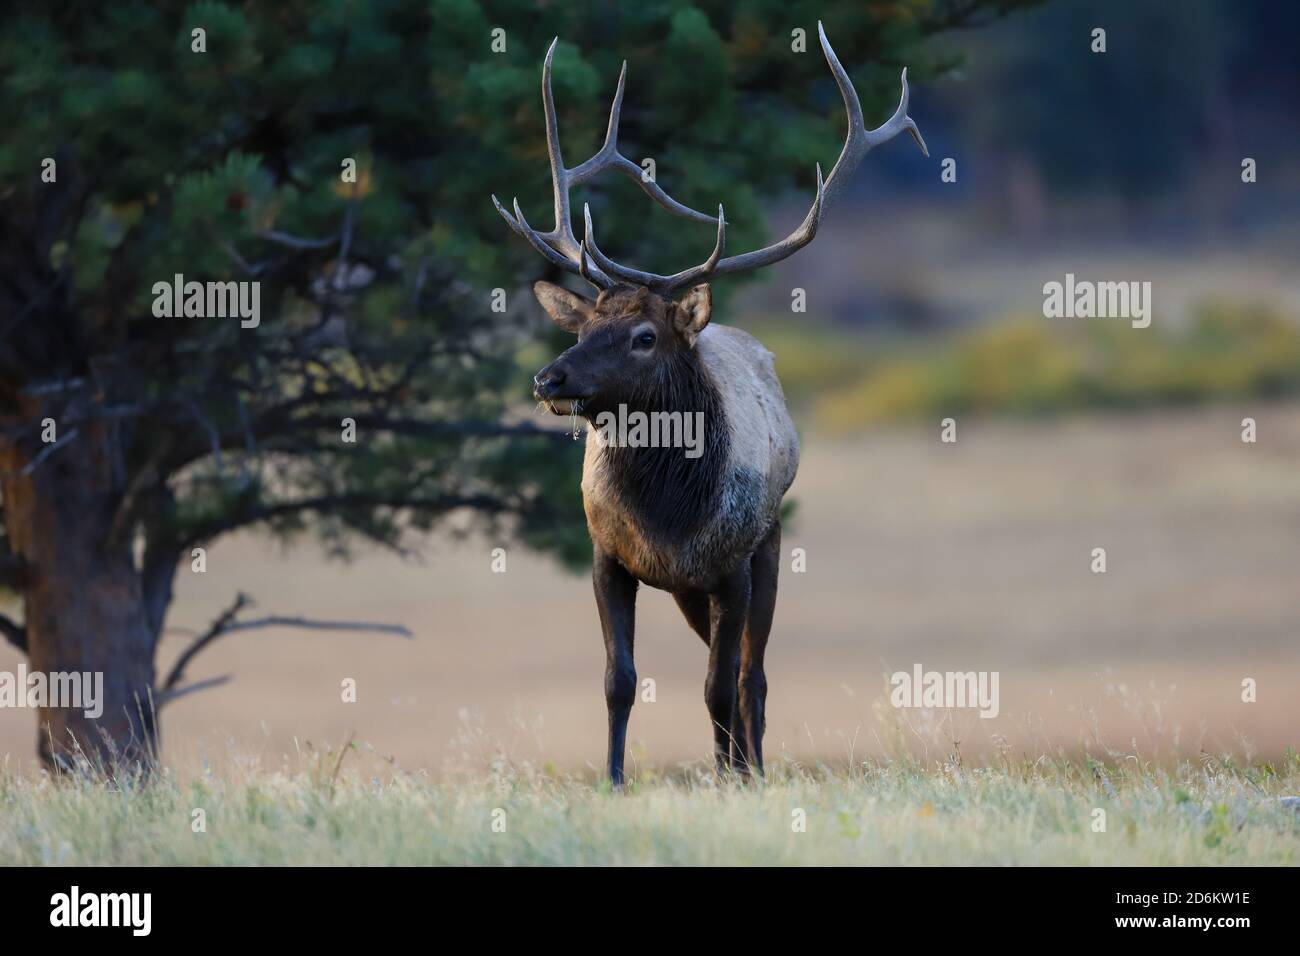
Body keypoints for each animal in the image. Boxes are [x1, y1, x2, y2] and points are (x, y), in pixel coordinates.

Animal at [492, 23, 927, 786]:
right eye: (582, 326)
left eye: (644, 336)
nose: (549, 379)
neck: (669, 517)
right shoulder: (609, 557)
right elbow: (619, 680)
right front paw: (614, 780)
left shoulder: (731, 565)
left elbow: (721, 684)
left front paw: (730, 778)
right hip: (690, 589)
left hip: (765, 548)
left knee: (752, 674)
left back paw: (749, 766)